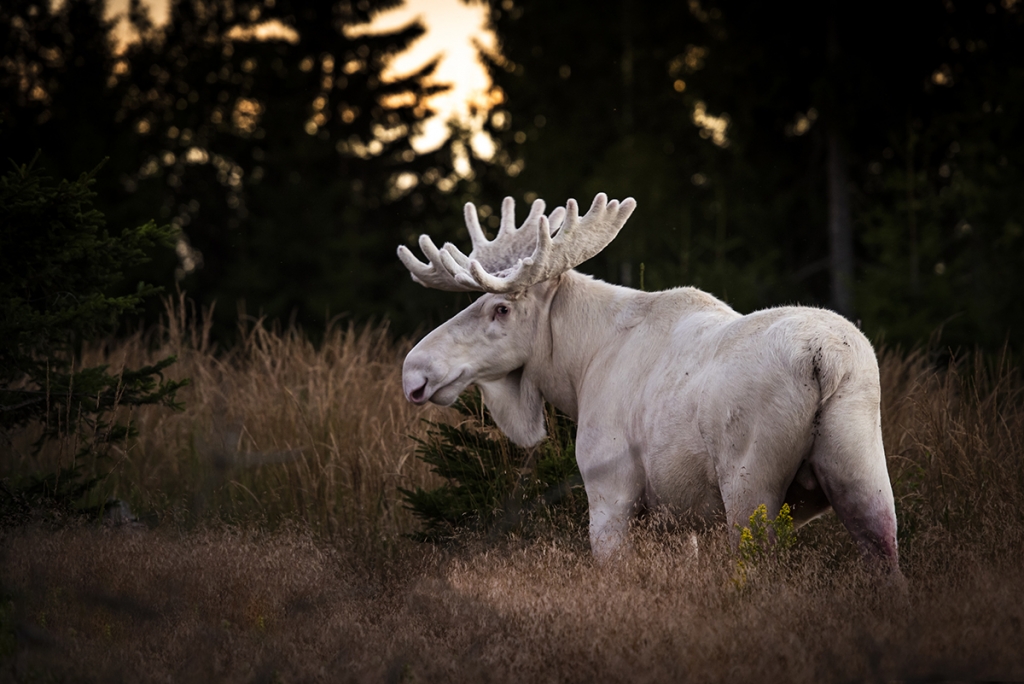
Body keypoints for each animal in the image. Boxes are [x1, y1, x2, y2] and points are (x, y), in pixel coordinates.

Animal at [398, 193, 899, 567]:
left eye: (500, 308)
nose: (414, 371)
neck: (578, 369)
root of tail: (826, 359)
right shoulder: (676, 516)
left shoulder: (610, 490)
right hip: (864, 470)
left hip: (750, 484)